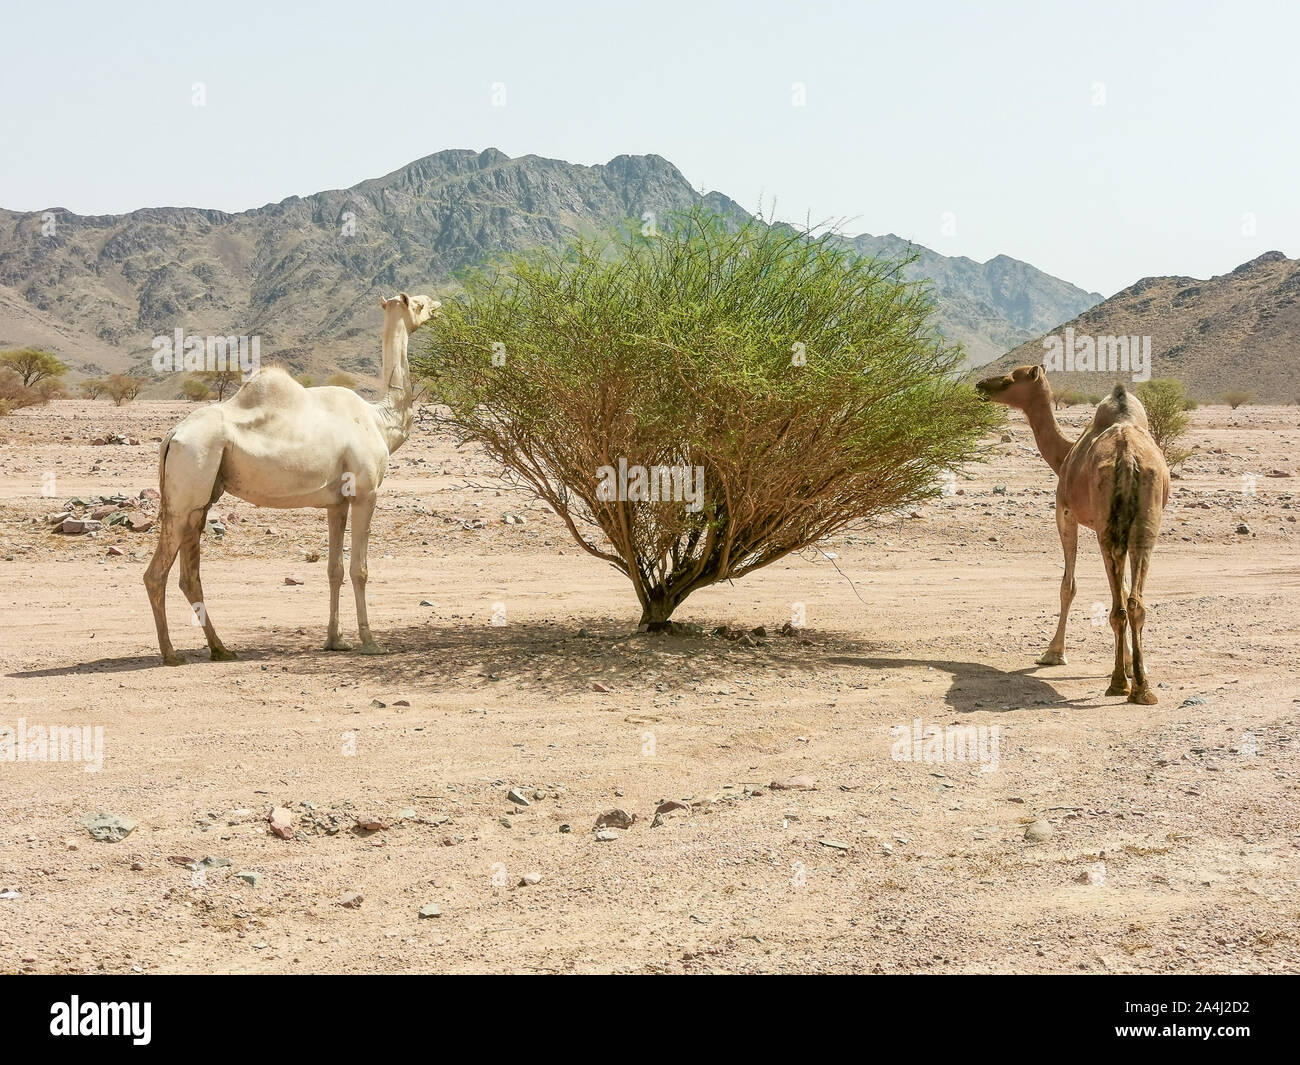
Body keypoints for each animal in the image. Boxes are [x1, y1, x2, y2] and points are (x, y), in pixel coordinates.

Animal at [144, 292, 440, 664]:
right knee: (157, 574)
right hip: (188, 485)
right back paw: (171, 653)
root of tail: (171, 436)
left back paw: (221, 648)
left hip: (200, 500)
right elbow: (359, 569)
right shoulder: (365, 492)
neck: (381, 420)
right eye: (417, 304)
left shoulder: (337, 502)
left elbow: (334, 569)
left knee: (188, 575)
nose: (439, 305)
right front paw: (370, 642)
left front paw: (335, 640)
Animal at [975, 365, 1170, 703]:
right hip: (1147, 522)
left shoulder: (1064, 512)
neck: (1066, 453)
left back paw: (1118, 684)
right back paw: (1142, 689)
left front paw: (1052, 653)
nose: (981, 385)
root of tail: (1128, 457)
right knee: (1135, 602)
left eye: (1011, 378)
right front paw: (1132, 664)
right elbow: (1125, 588)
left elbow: (1068, 585)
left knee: (1118, 606)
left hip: (1107, 526)